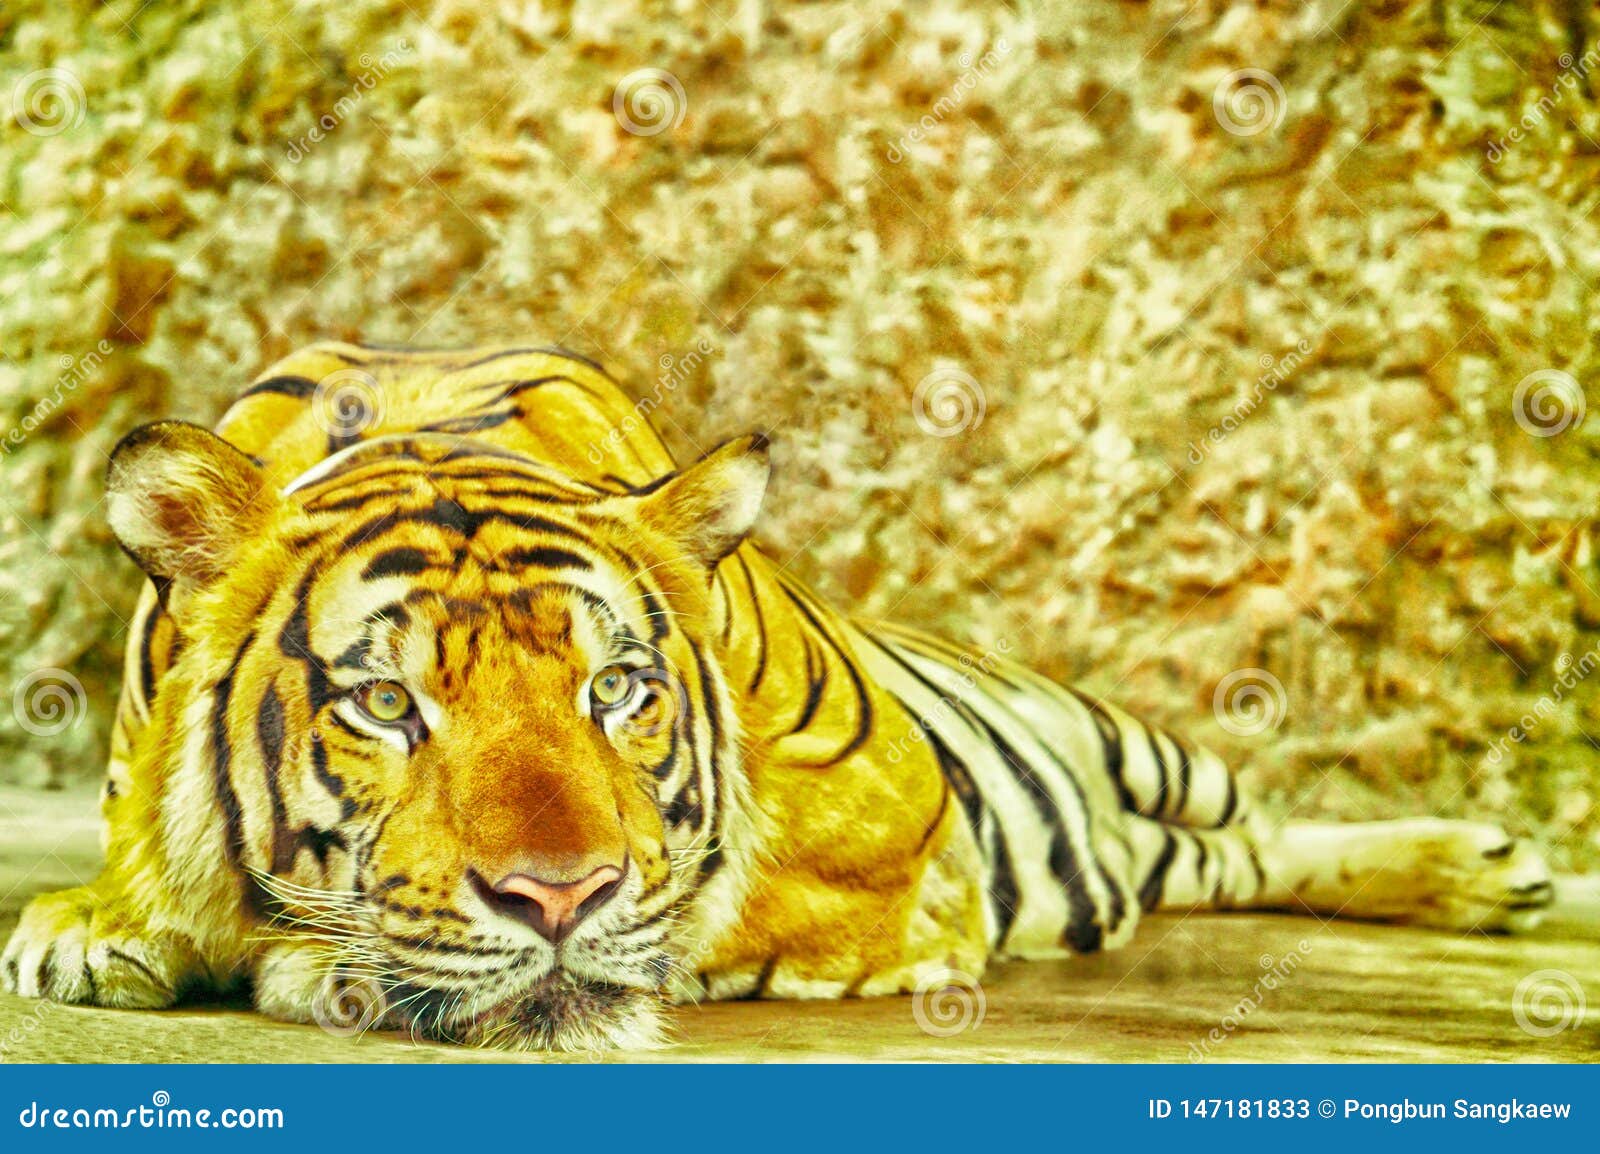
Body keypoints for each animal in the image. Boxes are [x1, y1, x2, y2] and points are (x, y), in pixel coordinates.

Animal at [1, 342, 1557, 1051]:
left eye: (617, 688)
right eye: (387, 705)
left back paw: (1487, 870)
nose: (556, 895)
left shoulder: (899, 833)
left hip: (1149, 751)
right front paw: (92, 928)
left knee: (1263, 826)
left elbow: (710, 898)